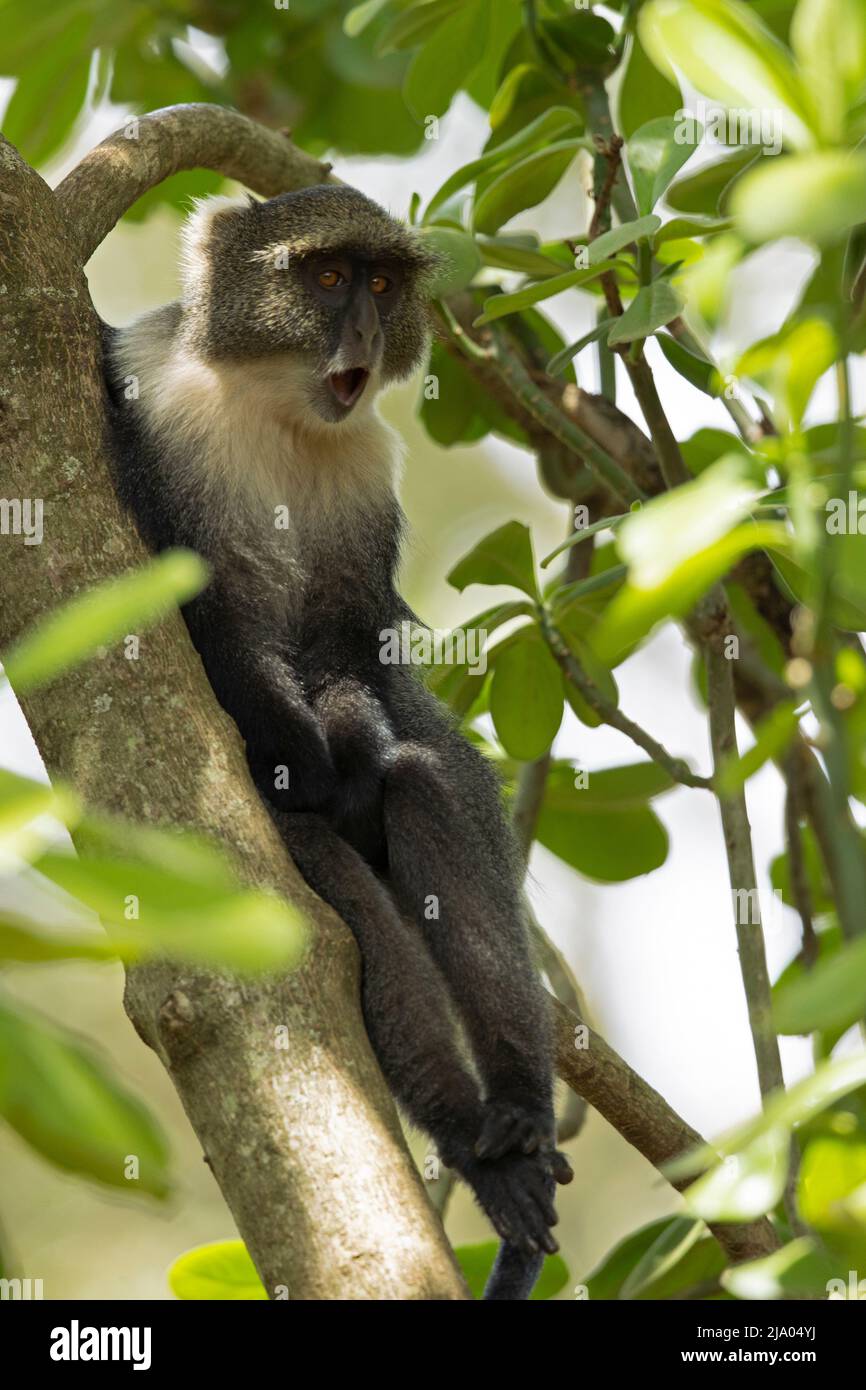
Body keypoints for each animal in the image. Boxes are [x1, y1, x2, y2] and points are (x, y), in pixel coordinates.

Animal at [101, 184, 573, 1300]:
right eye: (322, 276)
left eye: (381, 283)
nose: (357, 335)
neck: (274, 410)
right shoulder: (151, 413)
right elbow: (210, 618)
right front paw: (306, 763)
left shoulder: (363, 482)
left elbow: (345, 640)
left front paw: (352, 744)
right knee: (332, 889)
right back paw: (471, 1141)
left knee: (427, 786)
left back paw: (516, 1125)